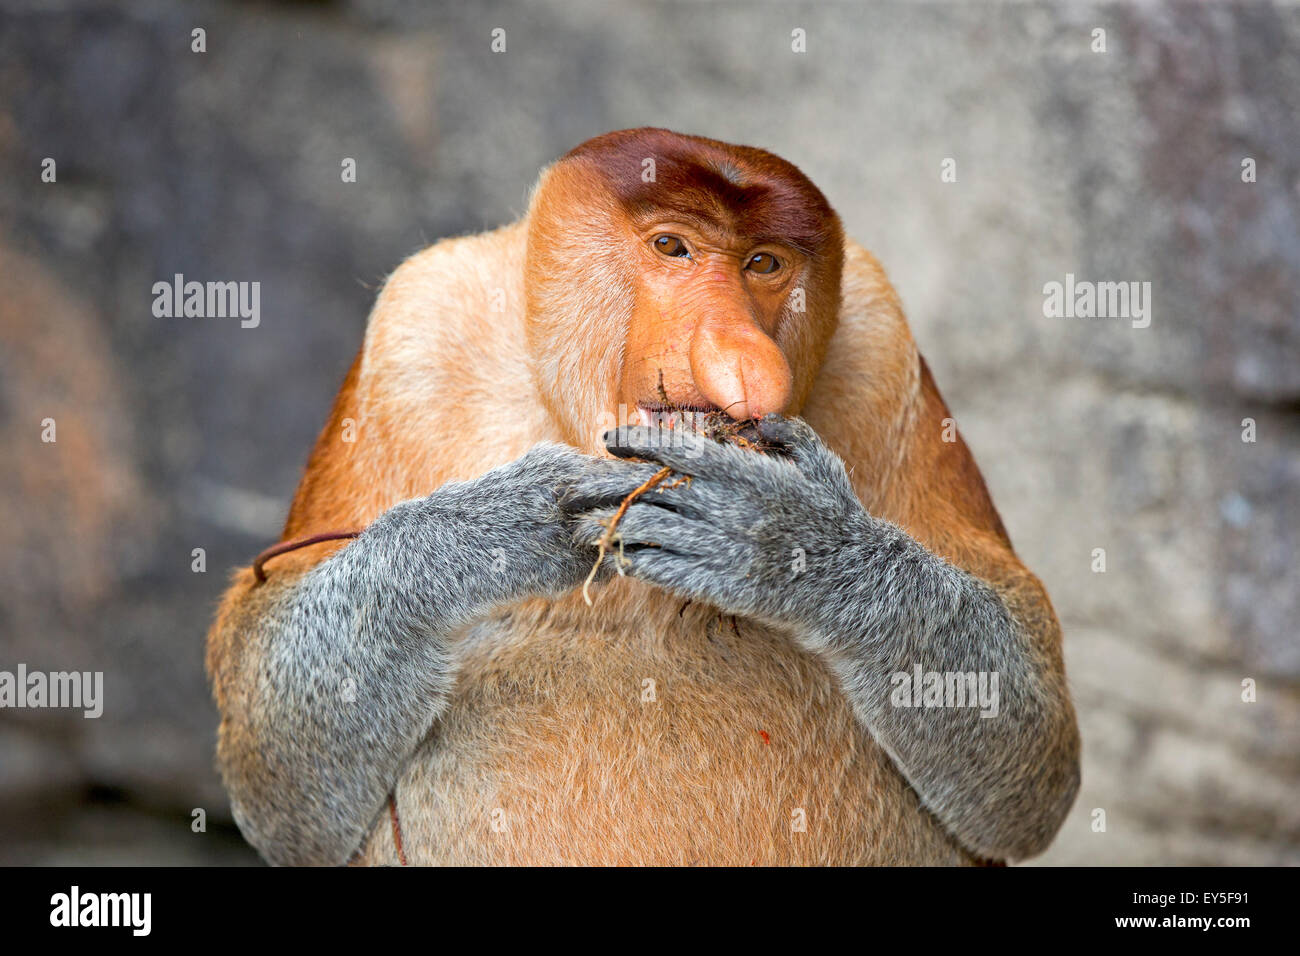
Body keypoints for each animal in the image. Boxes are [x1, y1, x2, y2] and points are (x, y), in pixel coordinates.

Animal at [206, 128, 1080, 866]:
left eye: (764, 264)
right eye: (672, 246)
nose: (741, 355)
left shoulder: (882, 339)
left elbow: (1031, 741)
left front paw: (781, 536)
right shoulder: (414, 328)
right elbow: (278, 765)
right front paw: (509, 525)